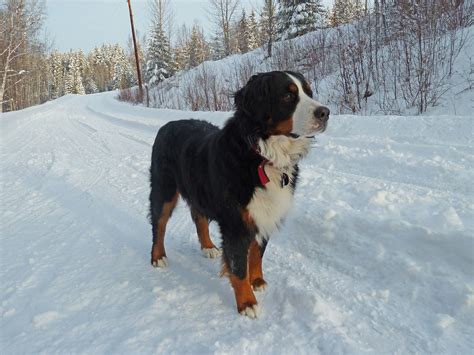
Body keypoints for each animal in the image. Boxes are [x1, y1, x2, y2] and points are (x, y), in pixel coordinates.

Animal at [148, 71, 330, 318]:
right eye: (287, 96)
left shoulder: (265, 214)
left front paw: (258, 281)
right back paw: (157, 257)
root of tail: (167, 125)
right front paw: (247, 302)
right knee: (159, 224)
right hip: (164, 189)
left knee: (199, 217)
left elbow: (256, 255)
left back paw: (207, 247)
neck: (262, 156)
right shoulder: (236, 223)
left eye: (309, 92)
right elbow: (238, 266)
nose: (325, 112)